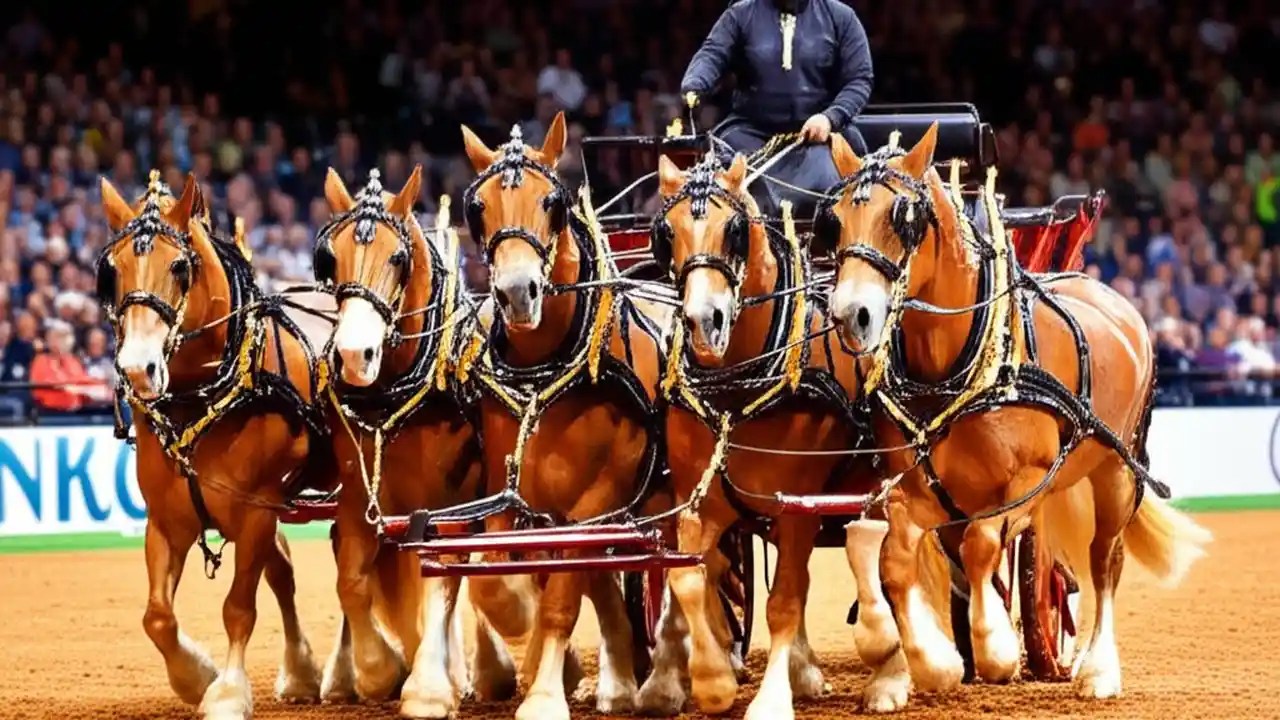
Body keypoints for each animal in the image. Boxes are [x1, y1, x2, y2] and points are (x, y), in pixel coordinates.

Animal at [97, 172, 329, 719]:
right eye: (110, 270)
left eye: (180, 266)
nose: (138, 370)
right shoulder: (168, 519)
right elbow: (157, 617)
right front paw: (195, 676)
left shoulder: (258, 510)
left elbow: (239, 607)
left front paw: (226, 692)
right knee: (287, 572)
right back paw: (305, 673)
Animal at [314, 164, 531, 717]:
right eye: (330, 259)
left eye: (397, 257)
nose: (355, 356)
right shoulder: (359, 496)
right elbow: (352, 580)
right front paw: (379, 671)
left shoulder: (451, 502)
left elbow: (446, 578)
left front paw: (429, 689)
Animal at [459, 112, 669, 720]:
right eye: (477, 206)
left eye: (551, 201)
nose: (517, 293)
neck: (545, 372)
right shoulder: (510, 492)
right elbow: (495, 580)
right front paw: (532, 655)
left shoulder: (596, 499)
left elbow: (560, 597)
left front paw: (545, 696)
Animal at [636, 151, 898, 719]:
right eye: (665, 232)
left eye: (734, 229)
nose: (704, 322)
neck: (738, 383)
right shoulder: (700, 501)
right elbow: (689, 577)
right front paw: (709, 681)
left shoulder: (798, 504)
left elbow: (784, 600)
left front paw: (771, 697)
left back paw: (892, 676)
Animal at [821, 124, 1212, 709]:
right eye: (837, 218)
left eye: (904, 218)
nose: (851, 315)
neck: (953, 369)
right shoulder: (916, 490)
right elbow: (896, 558)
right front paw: (930, 665)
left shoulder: (1026, 482)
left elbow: (984, 547)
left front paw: (996, 650)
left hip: (1116, 473)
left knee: (1104, 560)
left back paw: (1098, 669)